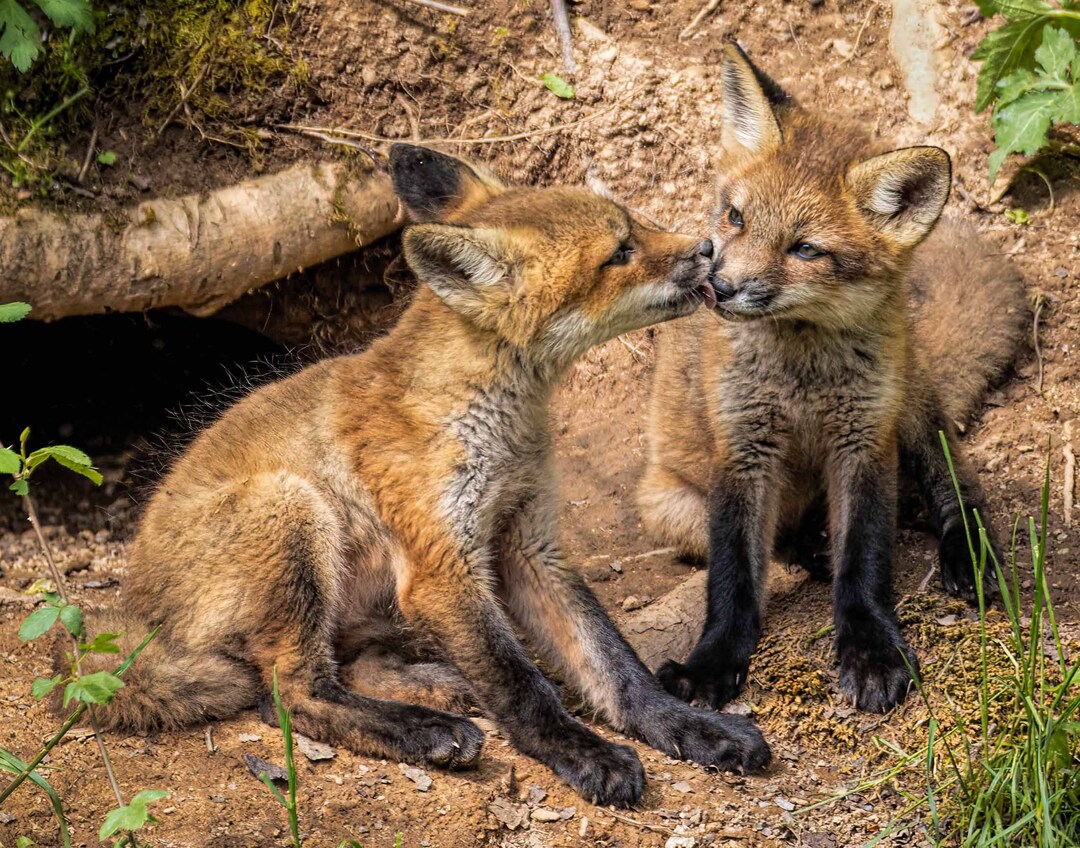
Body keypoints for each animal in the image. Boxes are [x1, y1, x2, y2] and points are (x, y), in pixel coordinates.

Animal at [70, 144, 769, 808]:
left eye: (635, 223)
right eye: (619, 253)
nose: (708, 248)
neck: (498, 427)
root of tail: (139, 612)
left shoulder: (530, 543)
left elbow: (616, 666)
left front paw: (687, 726)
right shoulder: (439, 567)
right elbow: (523, 685)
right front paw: (584, 753)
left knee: (351, 669)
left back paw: (433, 687)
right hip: (293, 508)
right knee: (288, 695)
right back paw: (420, 728)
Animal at [636, 46, 1027, 714]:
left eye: (805, 249)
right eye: (735, 217)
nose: (719, 287)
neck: (803, 379)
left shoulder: (864, 440)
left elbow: (864, 559)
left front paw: (870, 653)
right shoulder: (742, 450)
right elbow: (734, 575)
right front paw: (712, 664)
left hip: (908, 401)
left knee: (955, 480)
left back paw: (967, 551)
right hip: (671, 506)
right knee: (777, 541)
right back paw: (808, 547)